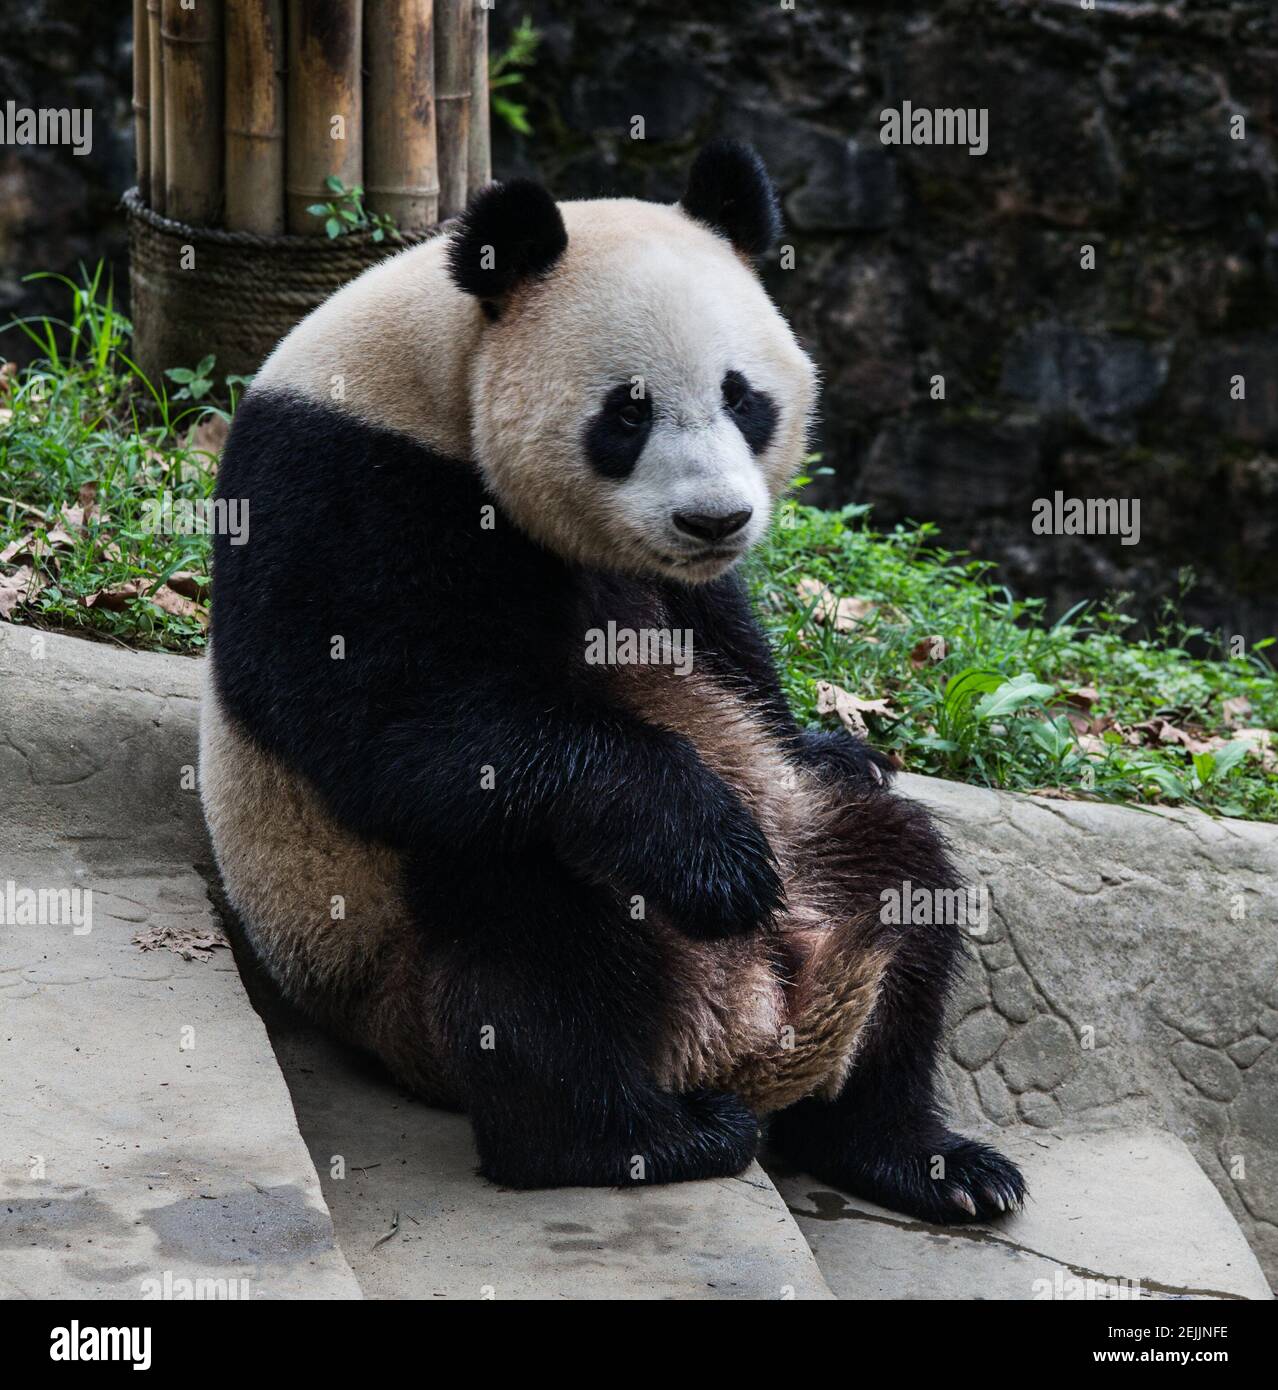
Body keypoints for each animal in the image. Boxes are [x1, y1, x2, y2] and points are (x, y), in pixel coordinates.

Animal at [201, 139, 1026, 1223]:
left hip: (815, 865)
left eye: (743, 398)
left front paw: (829, 742)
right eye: (628, 412)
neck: (438, 367)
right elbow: (388, 715)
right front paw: (707, 850)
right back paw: (633, 1137)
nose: (716, 519)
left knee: (902, 881)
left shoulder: (672, 584)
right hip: (391, 968)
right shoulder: (342, 480)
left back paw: (918, 1157)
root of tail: (743, 1024)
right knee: (533, 922)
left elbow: (721, 639)